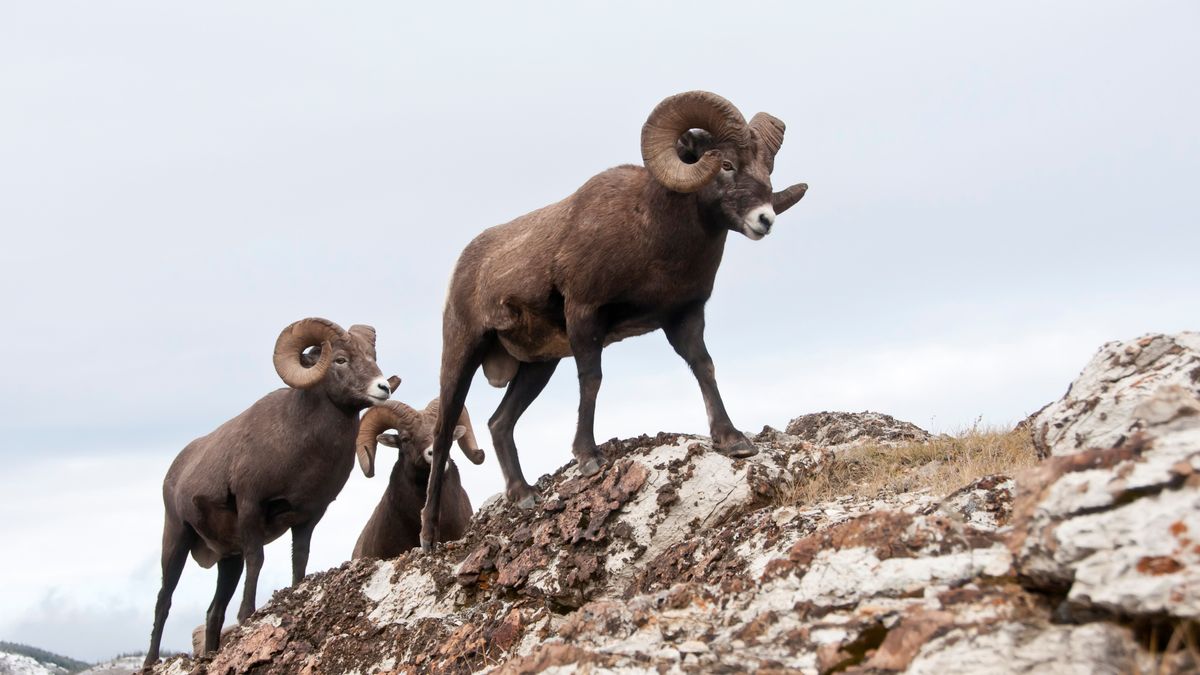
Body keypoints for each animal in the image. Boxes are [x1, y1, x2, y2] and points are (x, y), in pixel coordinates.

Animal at [144, 318, 397, 667]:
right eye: (340, 359)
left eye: (372, 356)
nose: (382, 388)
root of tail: (174, 469)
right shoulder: (251, 506)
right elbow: (258, 559)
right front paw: (248, 616)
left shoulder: (308, 518)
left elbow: (299, 560)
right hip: (177, 538)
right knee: (163, 601)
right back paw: (150, 662)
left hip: (228, 560)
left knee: (213, 613)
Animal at [418, 90, 808, 549]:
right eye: (726, 164)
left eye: (767, 169)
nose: (765, 220)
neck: (653, 233)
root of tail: (465, 263)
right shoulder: (585, 314)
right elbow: (592, 380)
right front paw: (589, 458)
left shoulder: (684, 318)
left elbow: (704, 367)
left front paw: (733, 441)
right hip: (462, 355)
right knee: (444, 434)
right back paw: (428, 536)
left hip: (538, 367)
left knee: (500, 423)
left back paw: (524, 494)